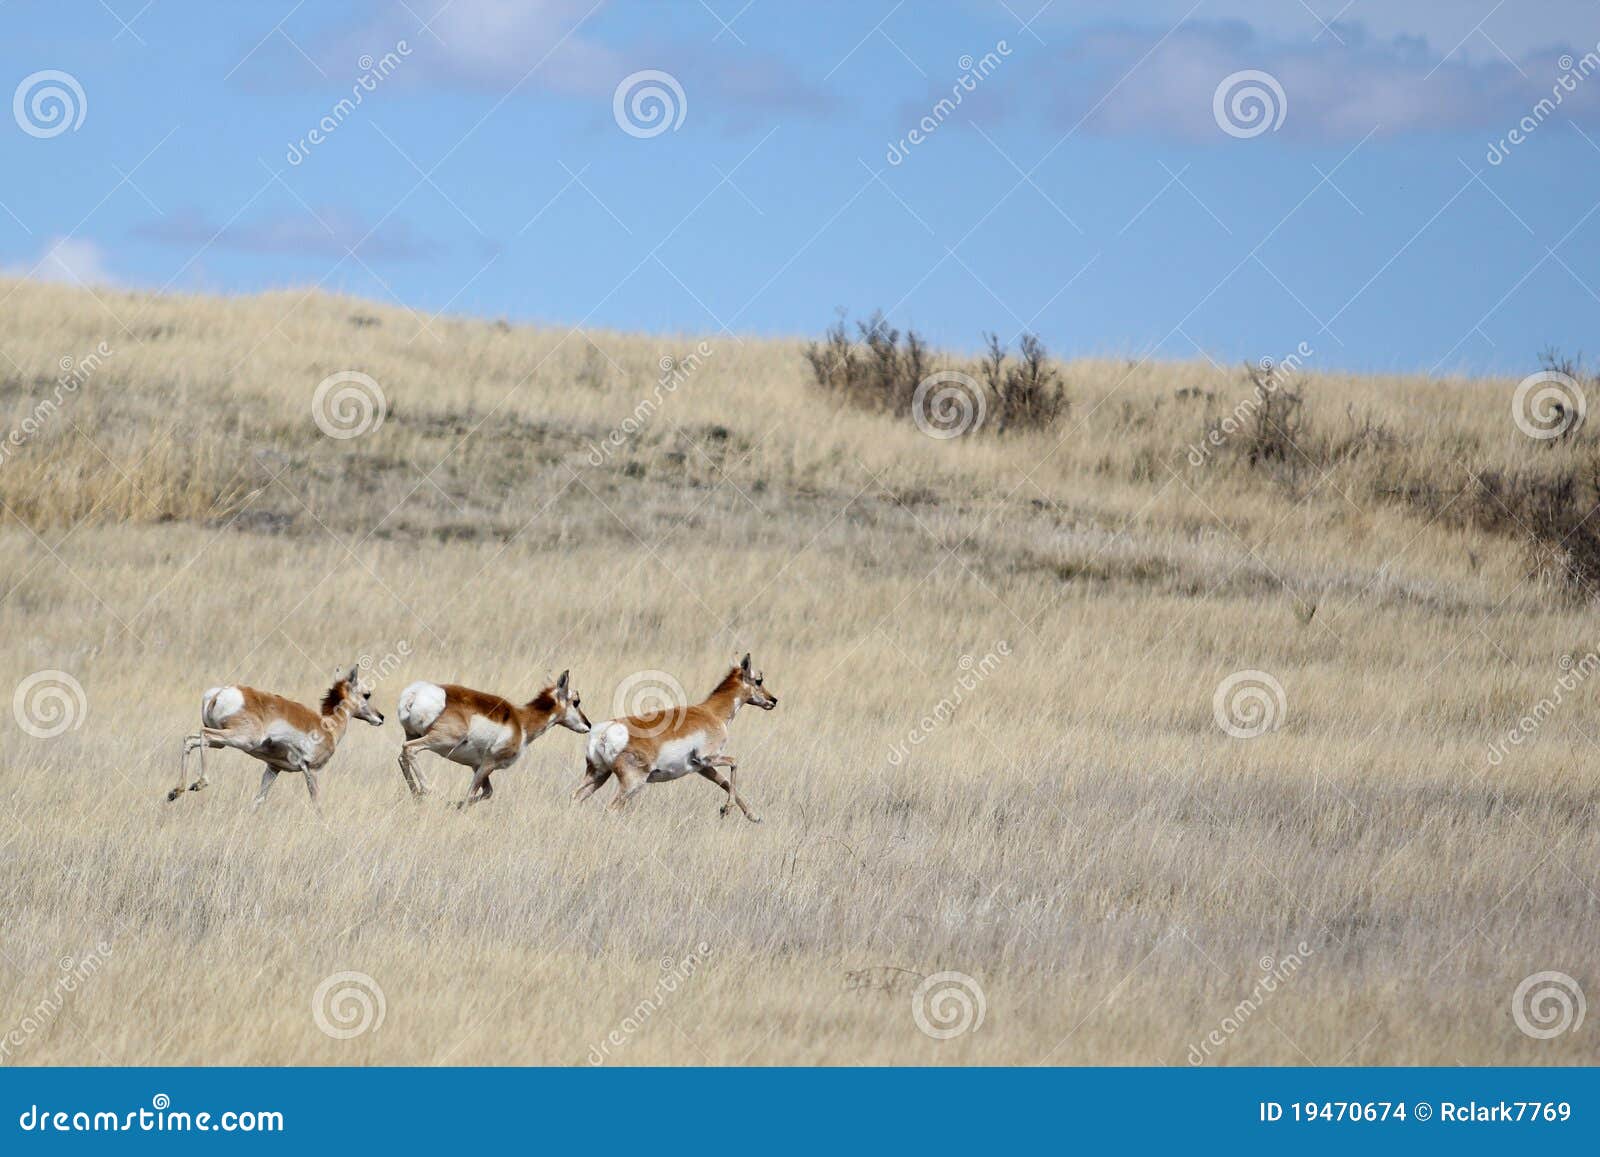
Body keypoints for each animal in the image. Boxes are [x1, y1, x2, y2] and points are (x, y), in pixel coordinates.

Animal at [168, 664, 385, 810]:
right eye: (367, 694)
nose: (381, 717)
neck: (328, 726)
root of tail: (220, 692)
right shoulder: (311, 770)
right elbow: (317, 804)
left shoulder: (273, 768)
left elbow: (259, 800)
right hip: (240, 739)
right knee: (203, 735)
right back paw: (199, 783)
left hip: (222, 742)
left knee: (190, 739)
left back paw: (175, 791)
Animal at [395, 670, 590, 806]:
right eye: (576, 701)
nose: (588, 726)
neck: (521, 720)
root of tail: (415, 693)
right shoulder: (488, 764)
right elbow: (471, 794)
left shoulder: (476, 766)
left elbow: (487, 792)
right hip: (440, 740)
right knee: (409, 749)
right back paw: (427, 791)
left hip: (413, 734)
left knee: (402, 756)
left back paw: (416, 794)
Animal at [574, 654, 777, 821]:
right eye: (759, 680)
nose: (773, 700)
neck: (711, 712)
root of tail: (604, 732)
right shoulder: (708, 758)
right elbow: (735, 762)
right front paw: (726, 809)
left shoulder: (703, 768)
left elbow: (724, 782)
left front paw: (753, 816)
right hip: (632, 783)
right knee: (611, 808)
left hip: (598, 775)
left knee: (575, 797)